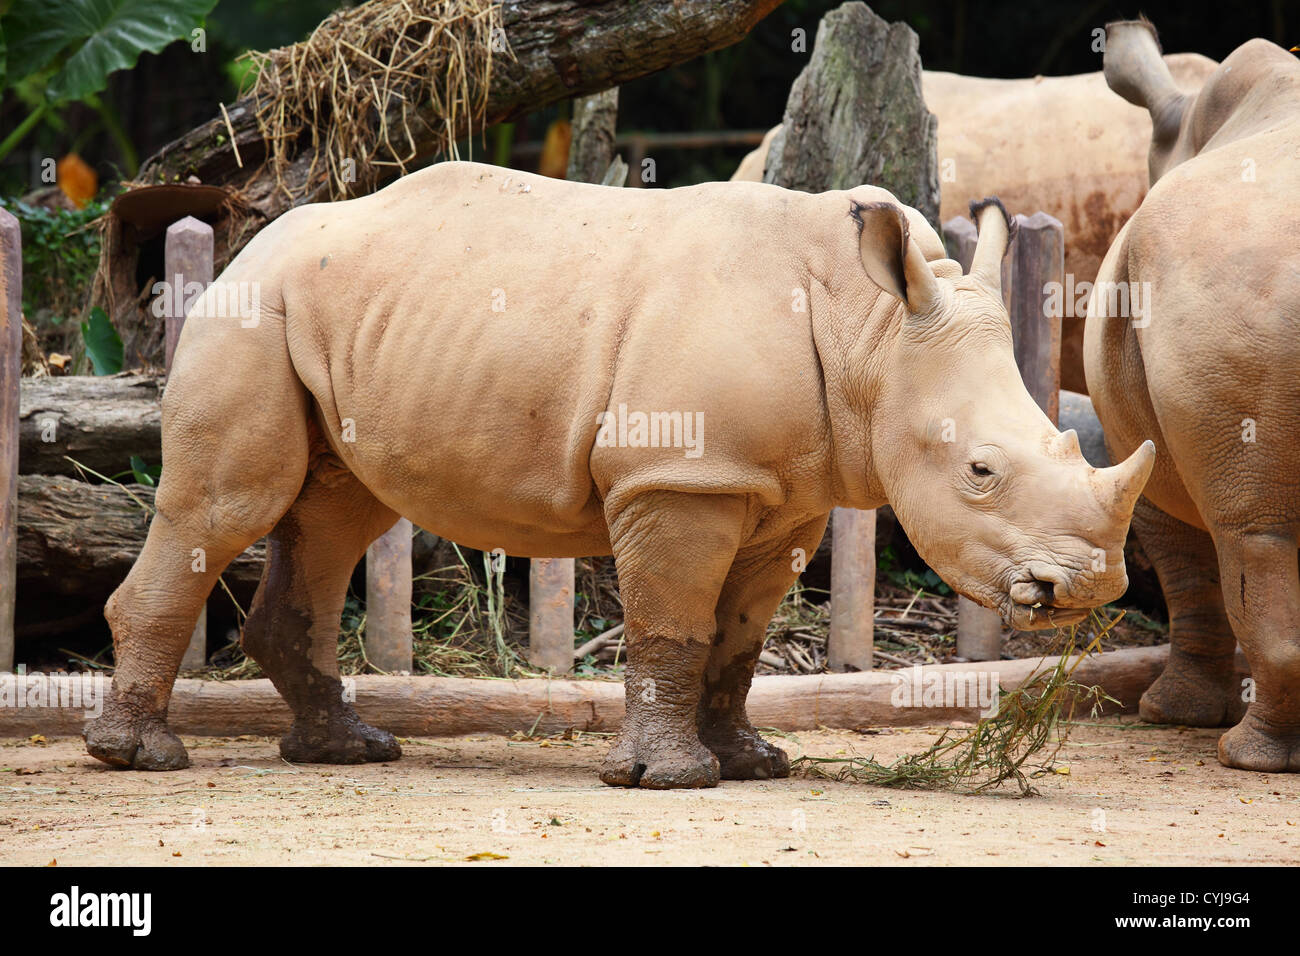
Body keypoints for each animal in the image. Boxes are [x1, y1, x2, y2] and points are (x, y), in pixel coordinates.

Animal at [85, 164, 1154, 788]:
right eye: (980, 471)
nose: (1088, 588)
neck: (875, 333)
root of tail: (245, 242)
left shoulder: (775, 494)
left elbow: (739, 637)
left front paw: (753, 763)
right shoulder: (680, 475)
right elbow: (675, 623)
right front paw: (671, 778)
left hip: (334, 317)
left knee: (337, 513)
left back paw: (347, 750)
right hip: (250, 312)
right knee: (224, 508)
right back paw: (140, 759)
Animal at [1086, 21, 1300, 771]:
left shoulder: (1141, 460)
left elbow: (1188, 578)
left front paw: (1167, 716)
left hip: (1238, 290)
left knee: (1251, 539)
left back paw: (1248, 756)